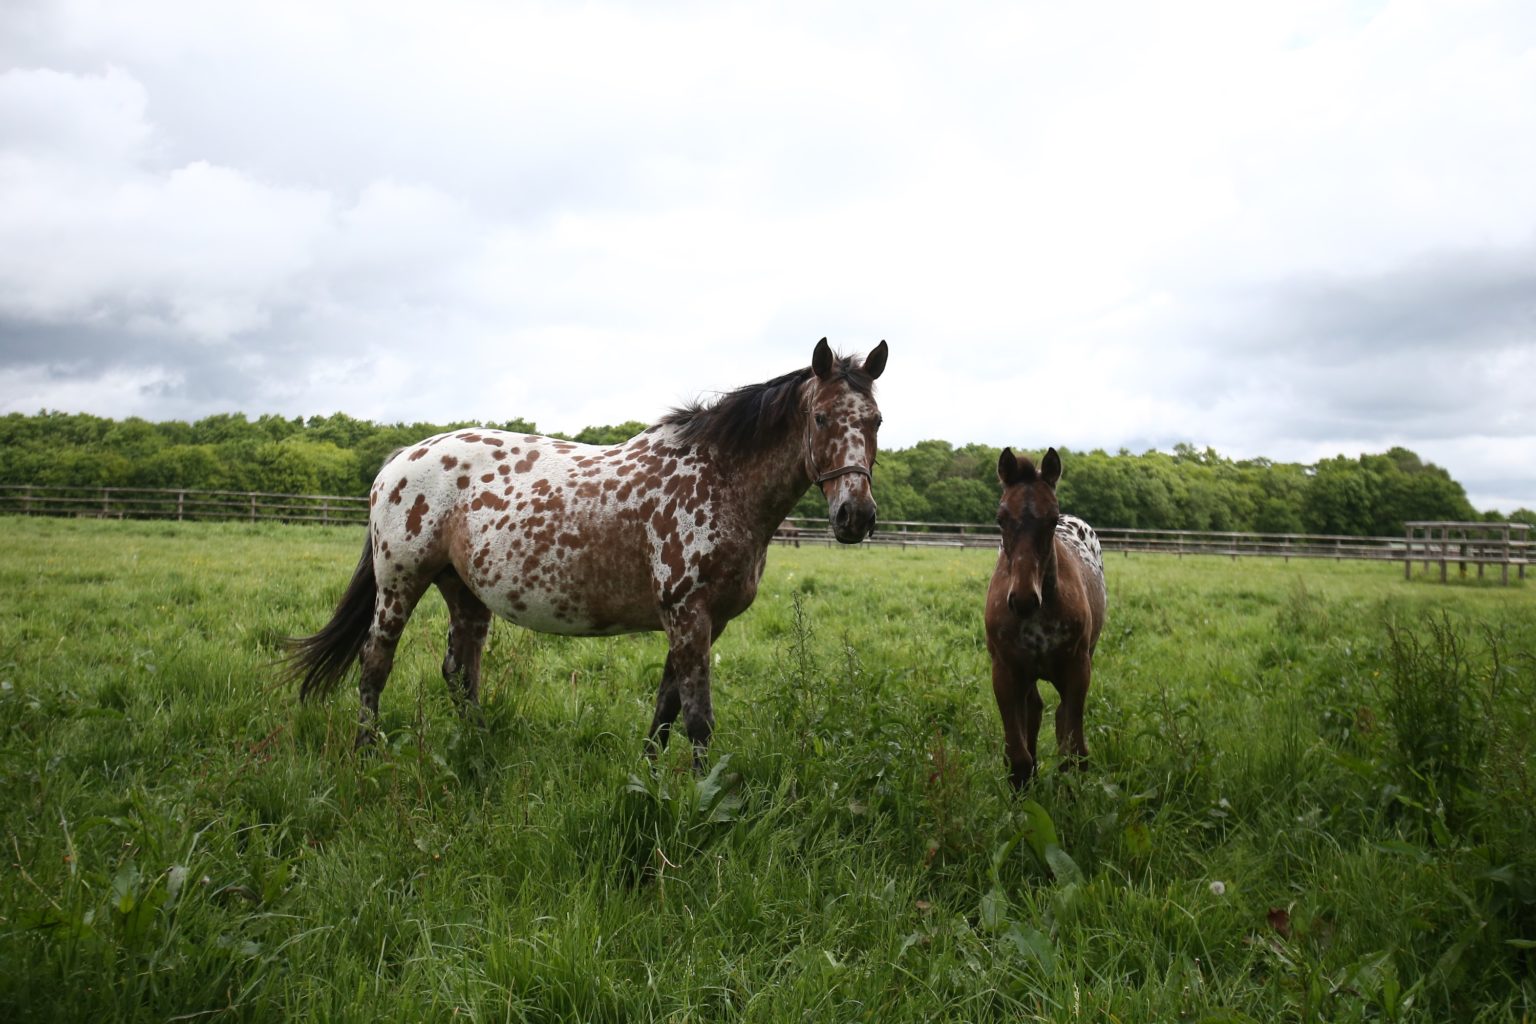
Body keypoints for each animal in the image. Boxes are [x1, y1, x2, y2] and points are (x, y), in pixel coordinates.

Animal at [286, 338, 888, 766]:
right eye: (820, 418)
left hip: (465, 592)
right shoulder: (688, 614)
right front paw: (701, 798)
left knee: (460, 673)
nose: (855, 517)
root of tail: (401, 458)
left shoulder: (701, 621)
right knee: (375, 663)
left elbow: (666, 708)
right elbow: (697, 719)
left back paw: (480, 752)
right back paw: (367, 754)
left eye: (876, 421)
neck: (719, 479)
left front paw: (647, 779)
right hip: (399, 583)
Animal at [984, 447, 1107, 789]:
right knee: (1035, 711)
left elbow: (1074, 751)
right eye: (1000, 519)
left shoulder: (1078, 668)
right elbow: (1018, 758)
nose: (1024, 599)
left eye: (1051, 520)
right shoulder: (1005, 671)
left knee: (1062, 719)